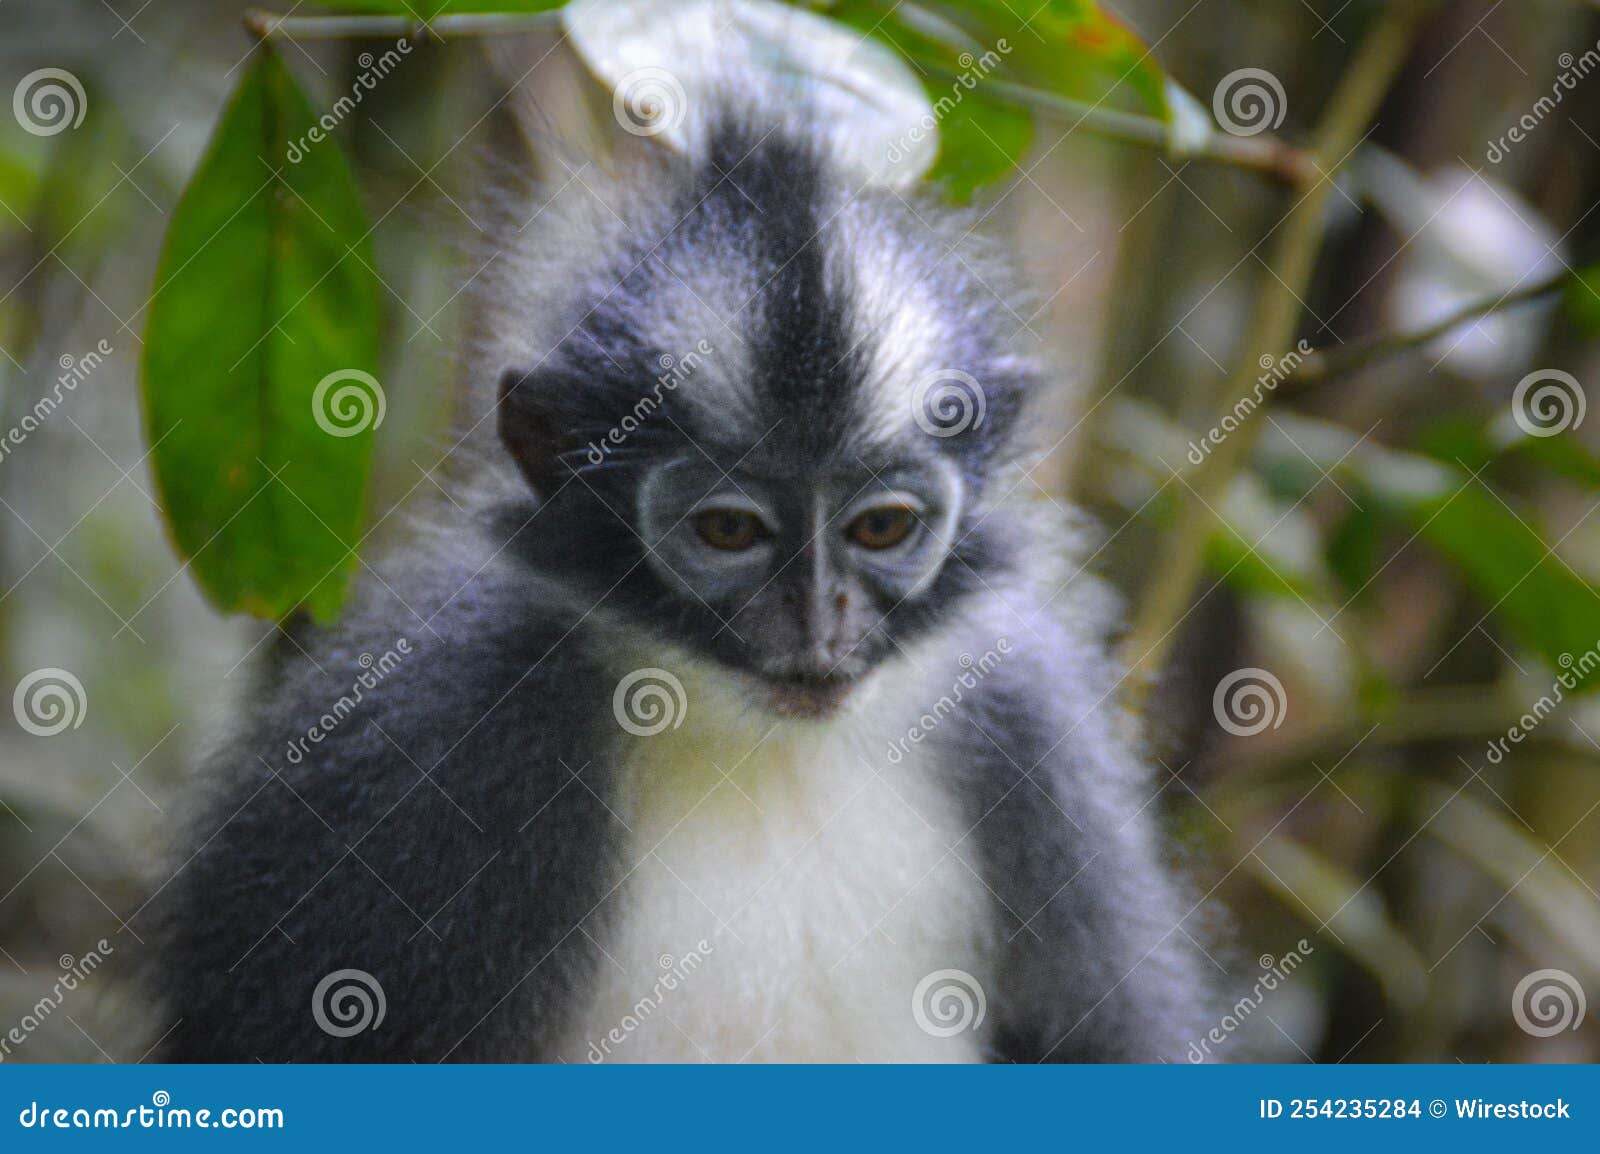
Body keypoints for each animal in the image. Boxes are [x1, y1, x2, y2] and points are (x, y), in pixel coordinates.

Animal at [147, 85, 1210, 1063]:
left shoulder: (1028, 724)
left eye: (882, 527)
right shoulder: (434, 738)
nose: (818, 622)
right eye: (730, 530)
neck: (754, 744)